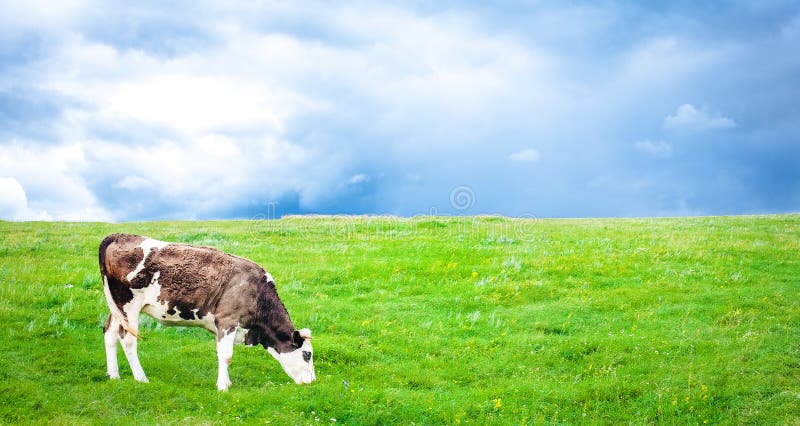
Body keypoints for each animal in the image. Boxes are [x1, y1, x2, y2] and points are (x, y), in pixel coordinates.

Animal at [98, 233, 315, 390]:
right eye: (307, 354)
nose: (312, 382)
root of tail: (118, 236)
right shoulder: (227, 320)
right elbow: (226, 355)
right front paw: (223, 386)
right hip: (128, 305)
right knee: (127, 339)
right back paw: (141, 378)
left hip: (116, 307)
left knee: (109, 333)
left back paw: (114, 375)